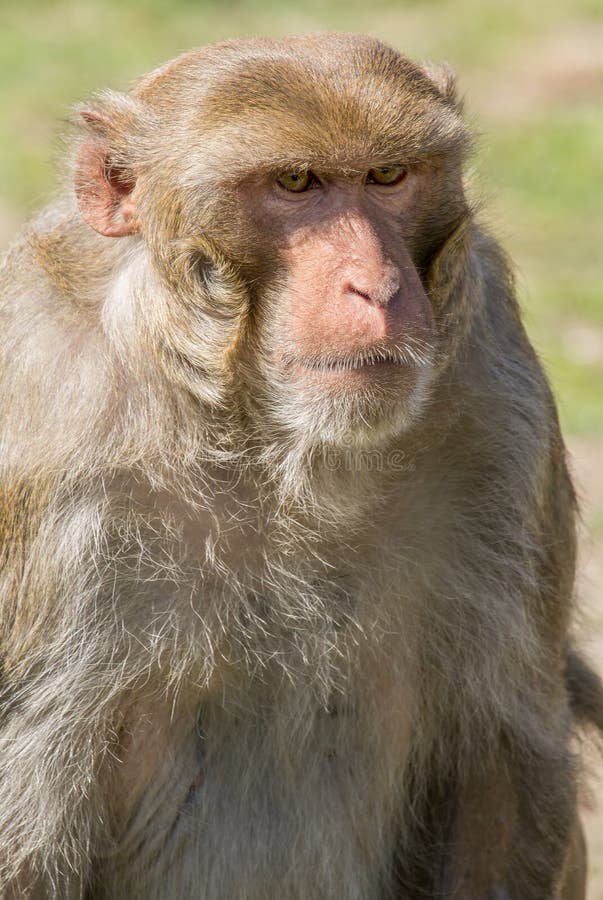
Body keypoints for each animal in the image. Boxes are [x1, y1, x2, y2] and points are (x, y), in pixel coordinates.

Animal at [0, 32, 601, 900]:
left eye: (388, 176)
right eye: (294, 183)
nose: (375, 287)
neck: (268, 442)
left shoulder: (496, 384)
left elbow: (496, 761)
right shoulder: (45, 422)